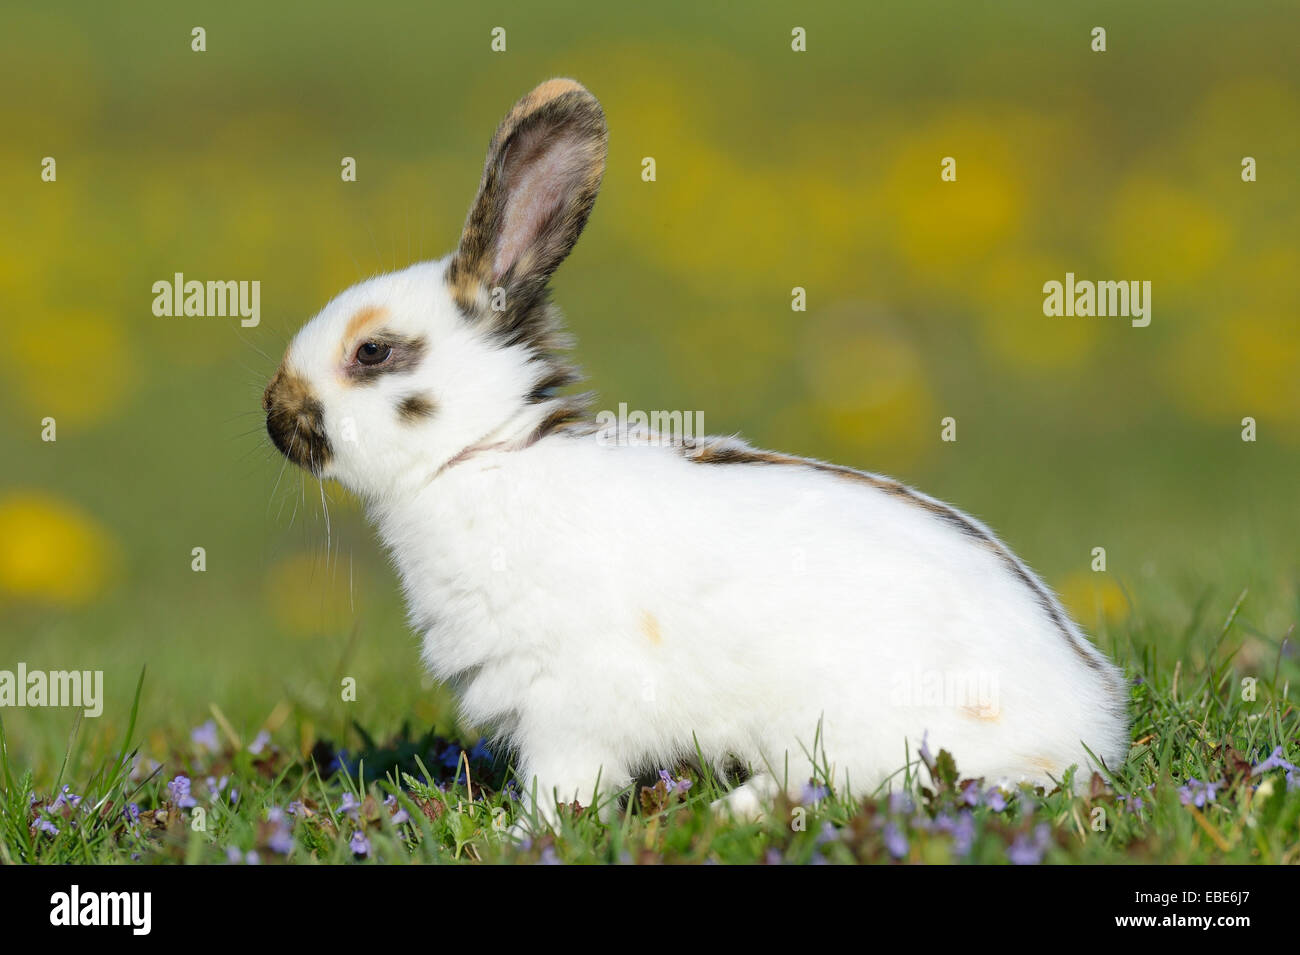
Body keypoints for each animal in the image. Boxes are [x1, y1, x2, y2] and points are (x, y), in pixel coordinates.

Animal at [263, 78, 1130, 829]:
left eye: (372, 351)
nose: (274, 415)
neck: (480, 454)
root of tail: (1089, 717)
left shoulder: (567, 708)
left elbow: (565, 785)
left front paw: (522, 833)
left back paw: (738, 807)